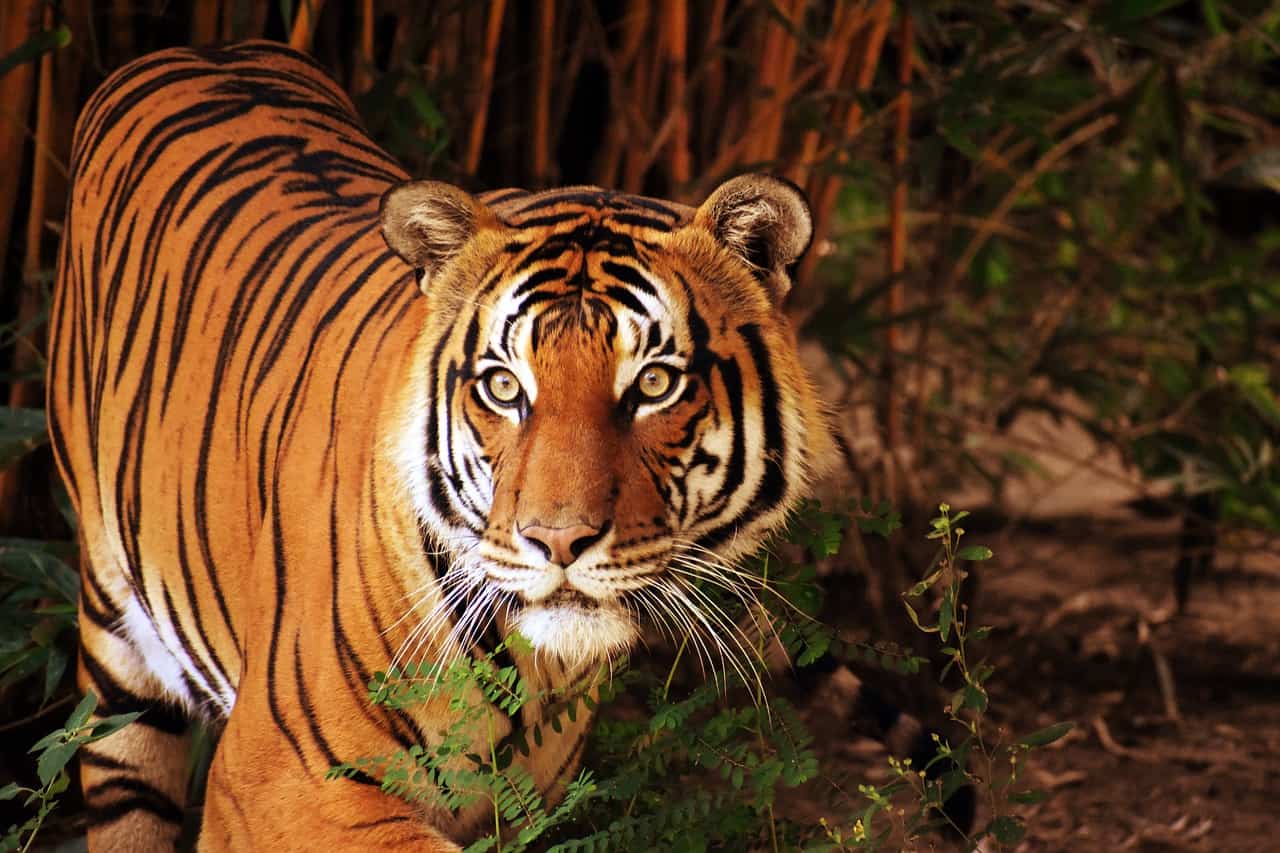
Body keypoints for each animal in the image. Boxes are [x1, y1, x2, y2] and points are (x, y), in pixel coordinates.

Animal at [47, 41, 836, 851]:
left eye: (652, 384)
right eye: (503, 386)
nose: (559, 541)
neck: (534, 669)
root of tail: (207, 47)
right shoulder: (278, 784)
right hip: (116, 652)